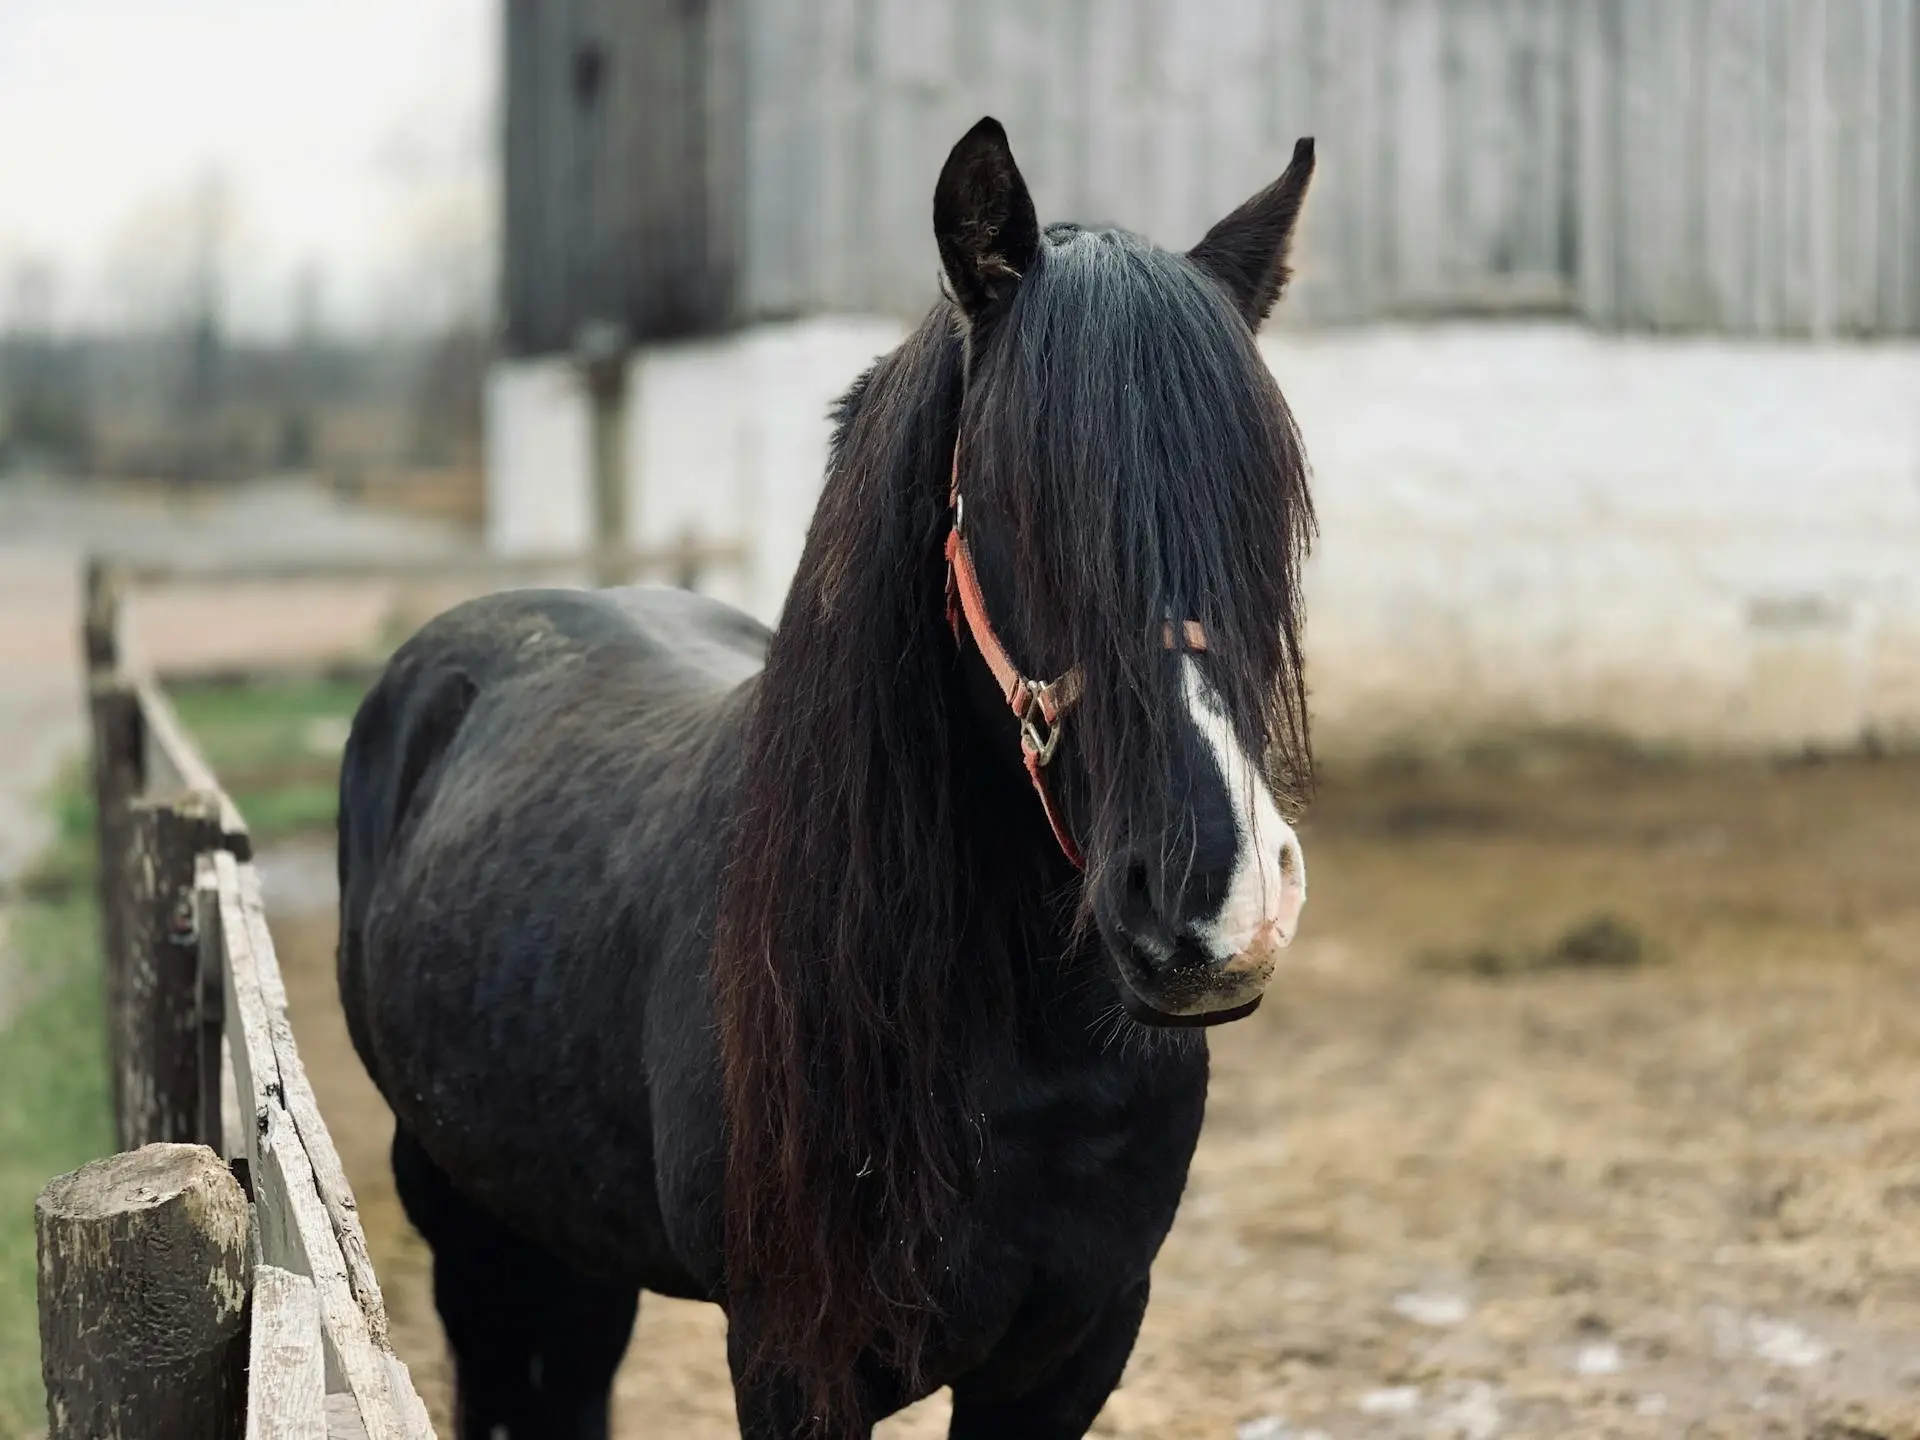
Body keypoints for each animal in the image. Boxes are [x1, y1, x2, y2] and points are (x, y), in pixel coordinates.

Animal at [337, 116, 1317, 1439]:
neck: (1023, 1045)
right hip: (457, 1206)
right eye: (1018, 500)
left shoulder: (1077, 1345)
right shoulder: (793, 1358)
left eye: (1262, 510)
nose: (1218, 904)